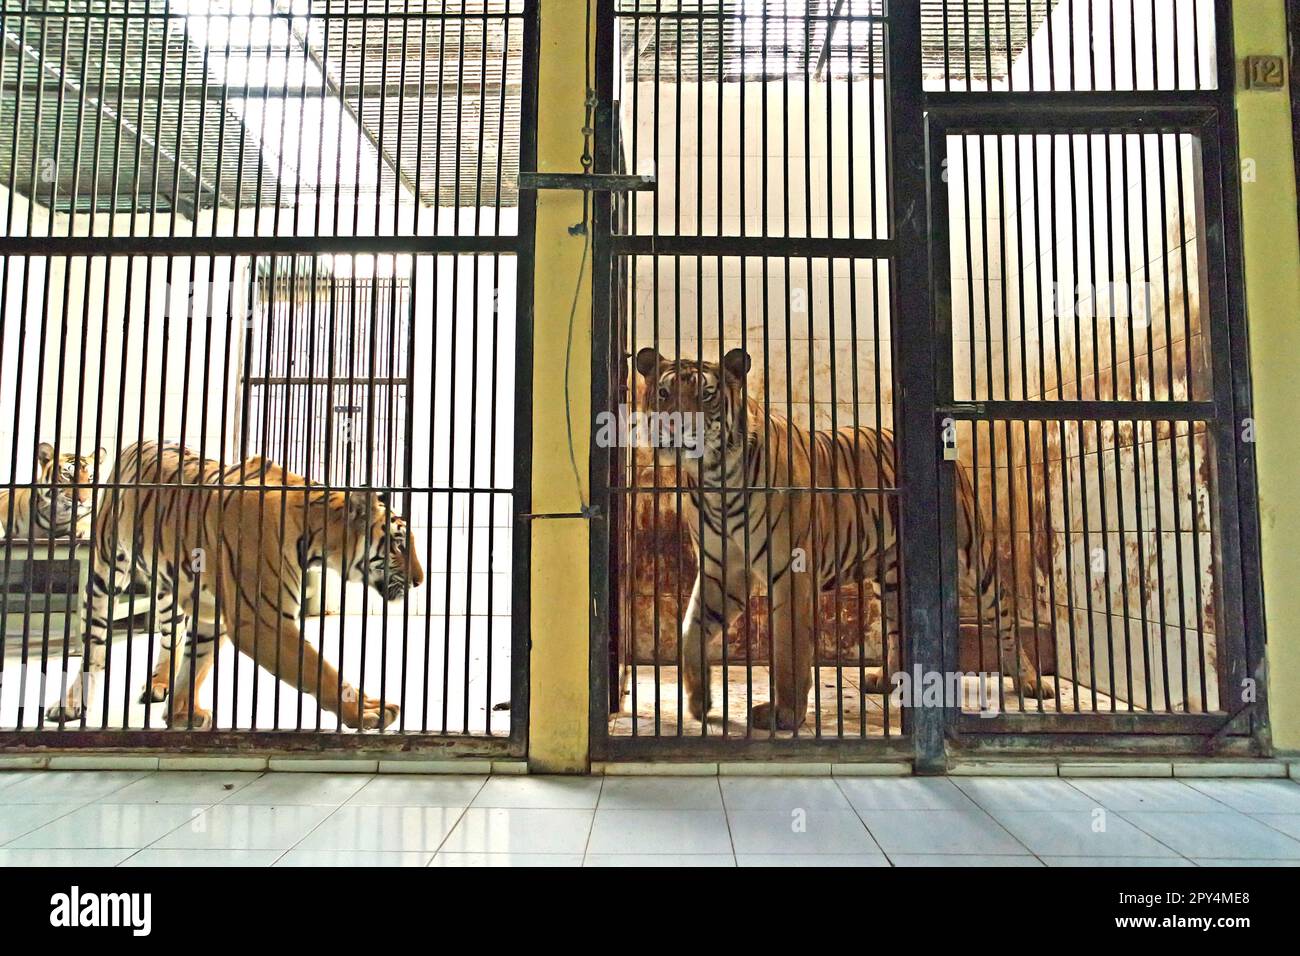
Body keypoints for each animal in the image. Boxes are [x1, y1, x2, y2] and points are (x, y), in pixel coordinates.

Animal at [45, 440, 424, 730]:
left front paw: (181, 713)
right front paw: (366, 713)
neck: (315, 537)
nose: (420, 581)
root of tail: (137, 443)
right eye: (399, 544)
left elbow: (195, 666)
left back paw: (160, 685)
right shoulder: (262, 620)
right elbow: (322, 671)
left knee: (172, 637)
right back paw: (70, 704)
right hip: (105, 573)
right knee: (93, 647)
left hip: (177, 595)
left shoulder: (218, 615)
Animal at [633, 347, 1052, 731]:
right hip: (890, 575)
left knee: (1004, 611)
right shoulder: (723, 571)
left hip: (972, 555)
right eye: (664, 394)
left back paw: (1031, 682)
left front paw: (784, 715)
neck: (713, 478)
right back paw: (888, 681)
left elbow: (788, 649)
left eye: (706, 395)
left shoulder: (790, 572)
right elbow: (690, 632)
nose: (673, 428)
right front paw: (699, 700)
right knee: (898, 625)